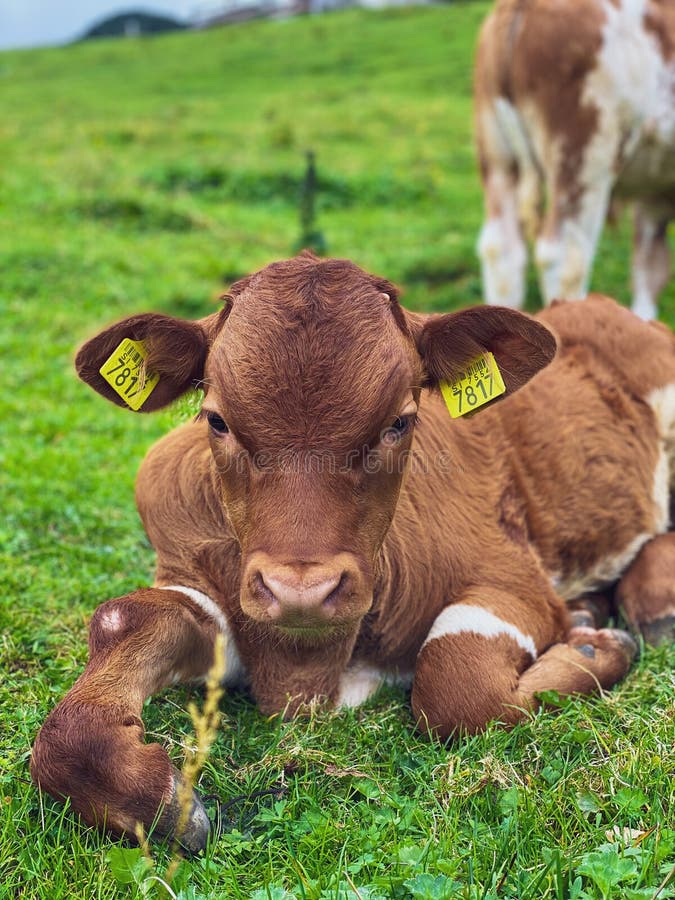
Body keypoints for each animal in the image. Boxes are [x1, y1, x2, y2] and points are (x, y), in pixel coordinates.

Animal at [31, 253, 675, 851]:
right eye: (216, 419)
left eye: (400, 422)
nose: (301, 593)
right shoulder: (193, 577)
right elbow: (104, 656)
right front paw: (160, 801)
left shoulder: (516, 576)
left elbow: (456, 684)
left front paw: (595, 650)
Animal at [474, 0, 675, 320]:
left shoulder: (654, 193)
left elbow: (648, 268)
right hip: (585, 156)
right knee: (563, 259)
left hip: (498, 157)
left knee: (500, 250)